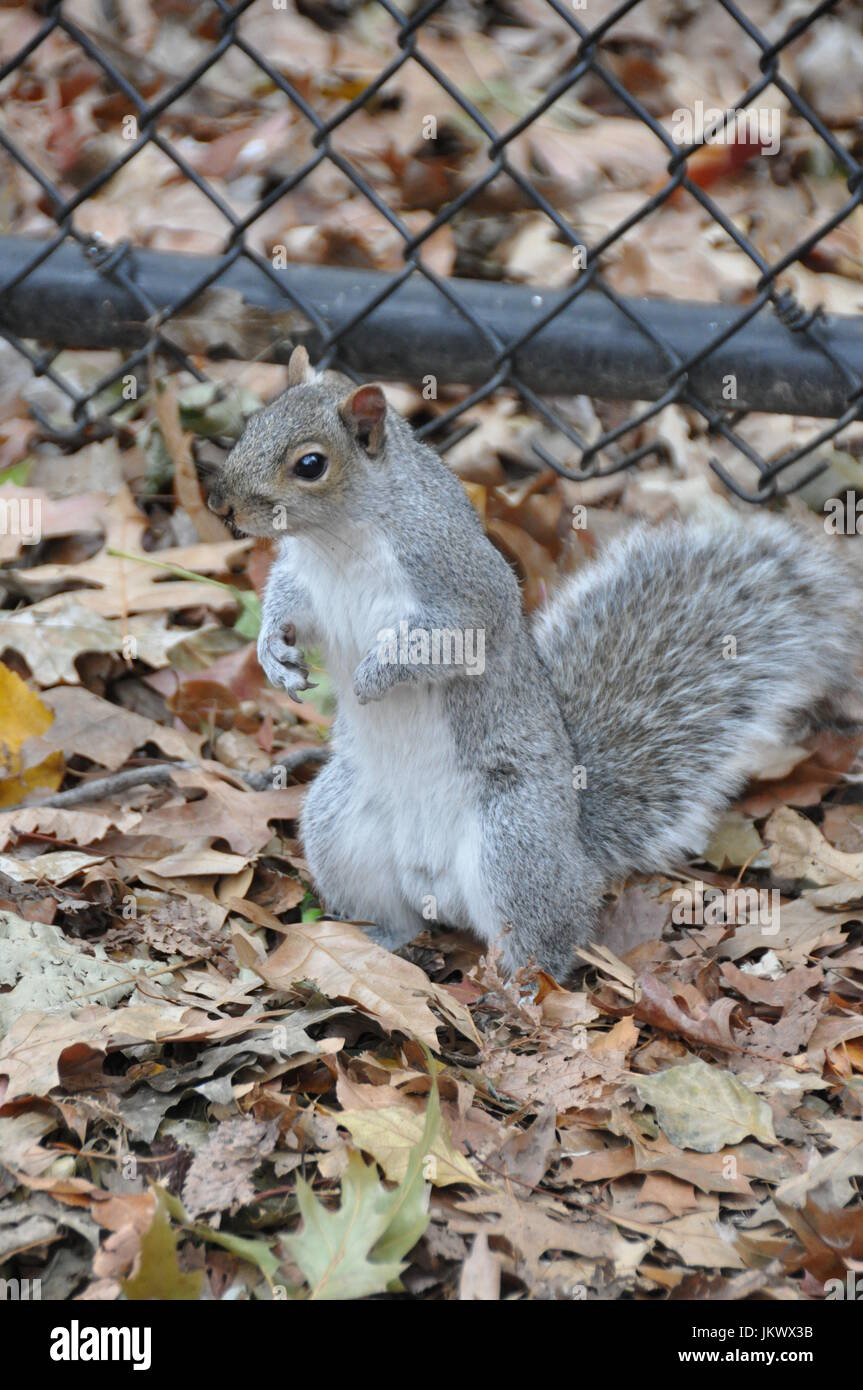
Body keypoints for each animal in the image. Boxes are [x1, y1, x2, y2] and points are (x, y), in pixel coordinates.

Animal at [206, 345, 863, 980]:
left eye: (310, 465)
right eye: (254, 423)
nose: (224, 506)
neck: (338, 540)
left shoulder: (459, 584)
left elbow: (445, 641)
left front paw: (377, 674)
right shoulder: (305, 580)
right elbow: (285, 605)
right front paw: (274, 656)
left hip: (515, 842)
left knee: (545, 938)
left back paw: (519, 984)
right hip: (339, 825)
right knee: (395, 912)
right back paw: (381, 941)